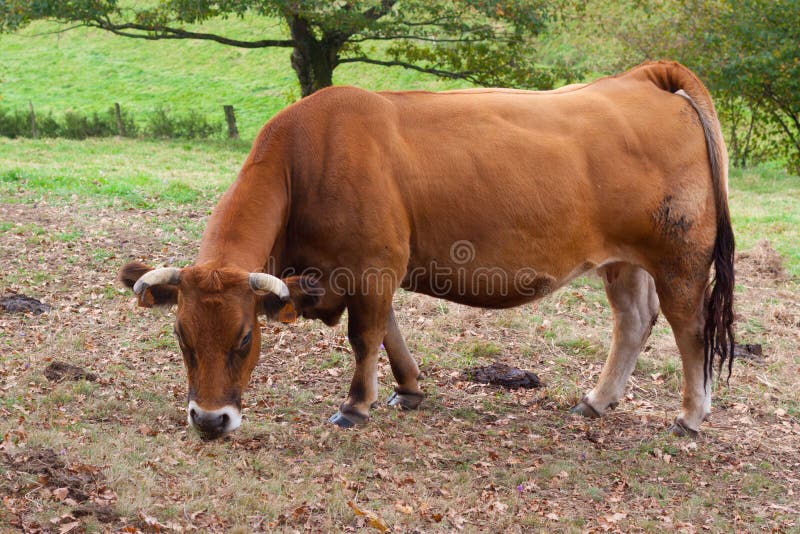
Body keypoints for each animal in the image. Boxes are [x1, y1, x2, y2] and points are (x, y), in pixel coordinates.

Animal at [120, 61, 734, 440]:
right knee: (632, 321)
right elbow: (388, 330)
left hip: (679, 257)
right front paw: (409, 389)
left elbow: (364, 335)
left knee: (689, 327)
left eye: (245, 338)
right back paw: (597, 400)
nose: (209, 420)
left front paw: (355, 406)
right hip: (624, 259)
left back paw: (690, 416)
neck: (307, 159)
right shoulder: (370, 270)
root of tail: (641, 77)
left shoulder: (372, 265)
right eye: (182, 337)